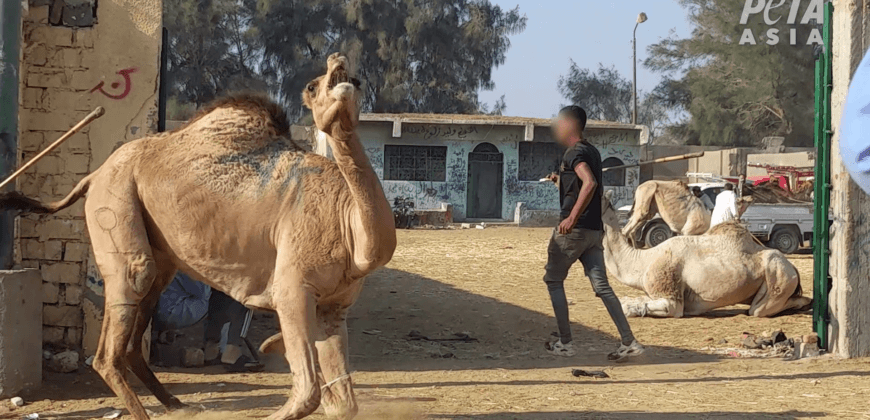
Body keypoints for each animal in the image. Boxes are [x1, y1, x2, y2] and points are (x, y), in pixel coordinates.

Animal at [0, 53, 395, 420]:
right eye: (313, 88)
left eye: (356, 81)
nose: (338, 62)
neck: (348, 222)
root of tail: (93, 175)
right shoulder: (292, 289)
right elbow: (307, 394)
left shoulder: (334, 307)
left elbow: (345, 404)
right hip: (114, 201)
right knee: (116, 326)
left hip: (159, 253)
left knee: (137, 323)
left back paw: (176, 403)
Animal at [601, 190, 811, 318]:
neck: (643, 262)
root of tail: (793, 268)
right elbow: (629, 301)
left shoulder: (671, 296)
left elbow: (638, 306)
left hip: (778, 277)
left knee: (759, 310)